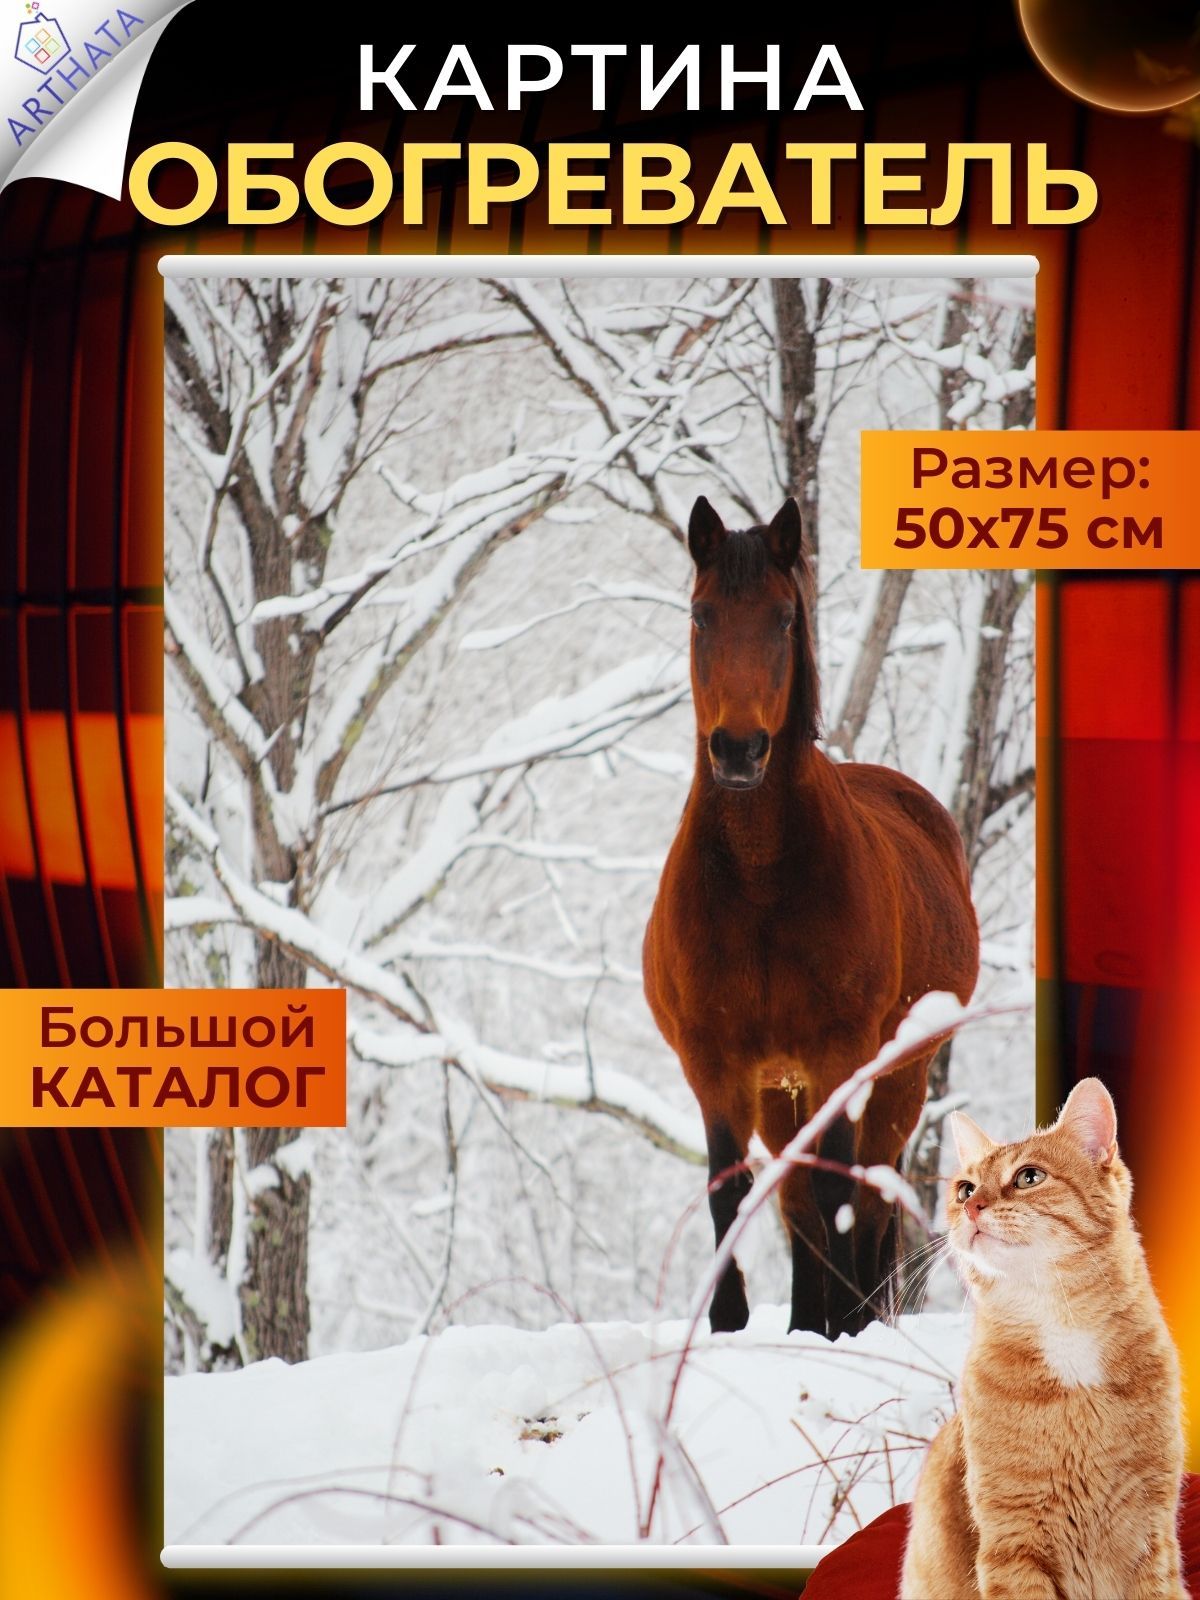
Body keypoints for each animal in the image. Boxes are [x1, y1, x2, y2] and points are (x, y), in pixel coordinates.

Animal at [643, 495, 979, 1340]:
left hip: (899, 1077)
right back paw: (807, 1318)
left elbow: (838, 1197)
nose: (738, 750)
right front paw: (733, 1329)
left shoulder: (838, 1055)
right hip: (780, 1092)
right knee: (796, 1200)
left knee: (866, 1188)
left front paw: (844, 1329)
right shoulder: (717, 1067)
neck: (760, 881)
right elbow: (733, 1195)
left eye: (785, 618)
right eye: (700, 615)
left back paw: (855, 1317)